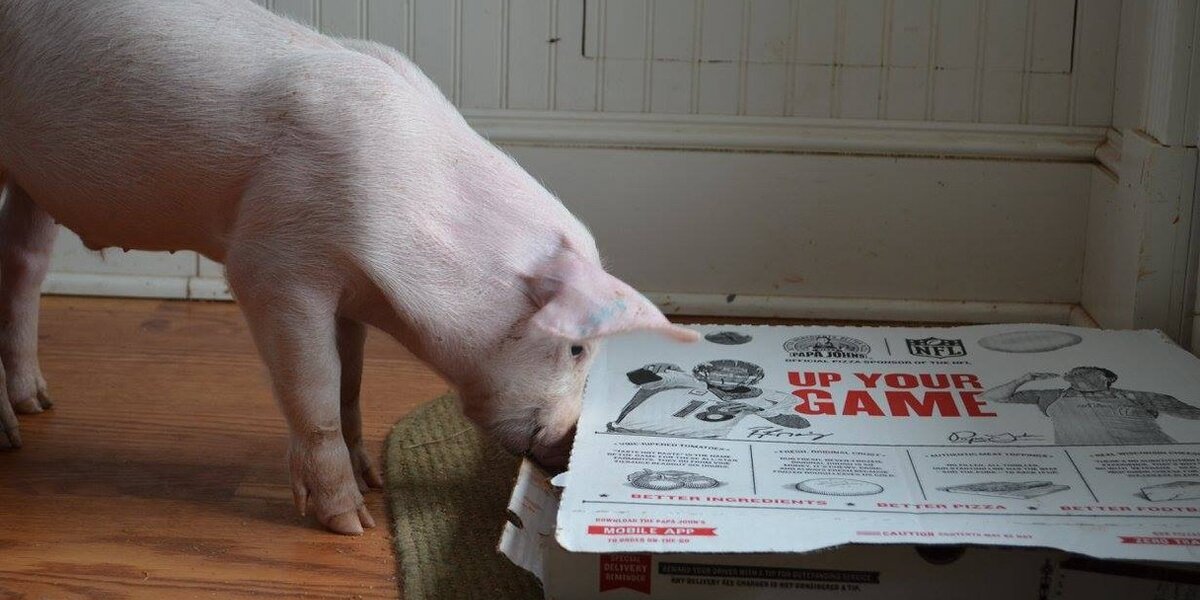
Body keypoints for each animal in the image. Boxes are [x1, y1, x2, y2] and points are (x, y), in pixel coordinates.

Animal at [0, 0, 698, 535]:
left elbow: (352, 384)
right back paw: (11, 435)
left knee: (24, 263)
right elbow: (313, 392)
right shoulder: (273, 266)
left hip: (34, 183)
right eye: (578, 347)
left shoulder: (349, 293)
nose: (571, 438)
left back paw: (36, 406)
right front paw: (352, 523)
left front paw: (375, 480)